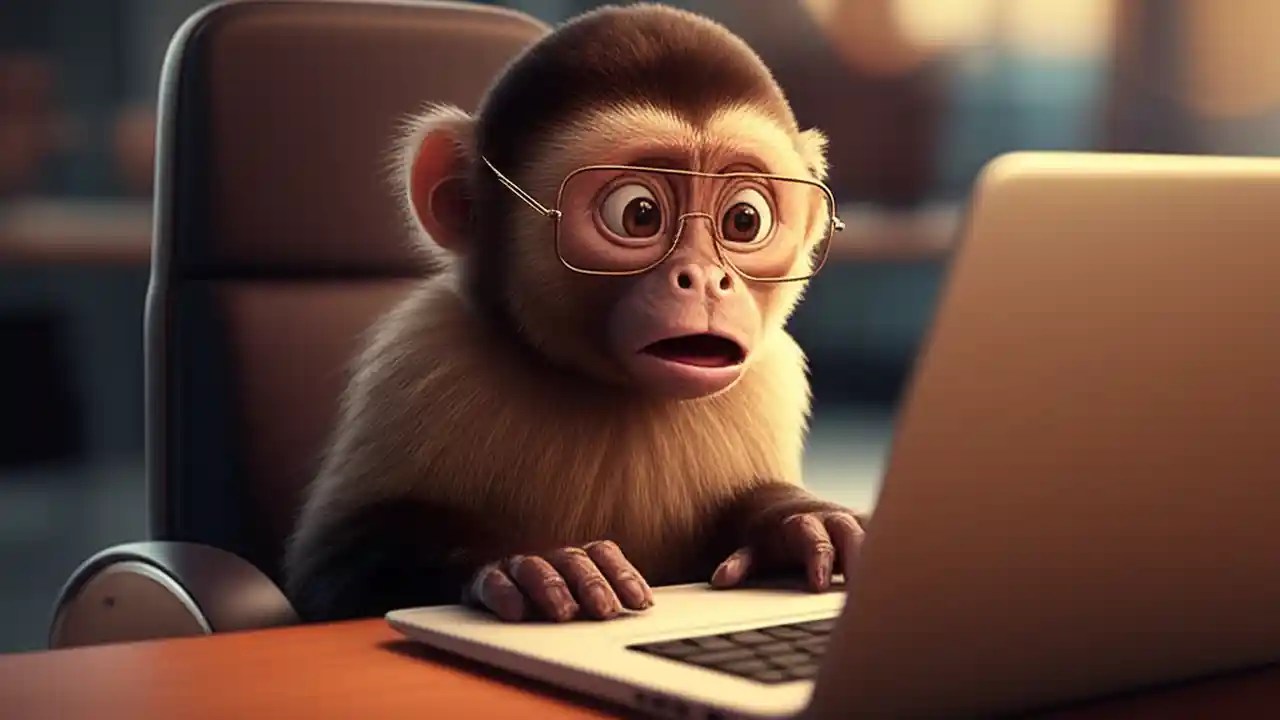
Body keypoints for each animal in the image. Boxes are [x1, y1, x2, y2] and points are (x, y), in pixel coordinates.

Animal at [282, 3, 867, 625]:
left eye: (744, 221)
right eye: (639, 214)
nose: (706, 280)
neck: (611, 389)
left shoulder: (770, 380)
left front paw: (797, 520)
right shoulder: (422, 355)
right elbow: (325, 570)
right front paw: (530, 561)